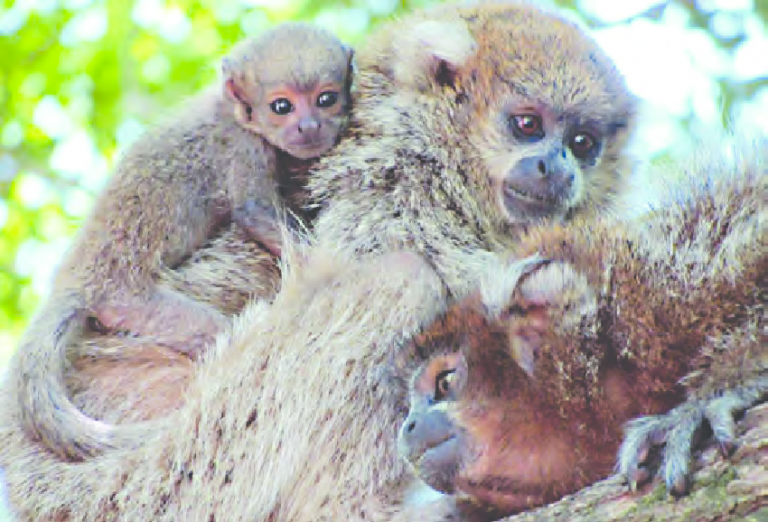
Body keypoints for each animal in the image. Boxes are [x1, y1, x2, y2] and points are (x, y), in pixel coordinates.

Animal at [9, 22, 354, 461]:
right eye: (282, 107)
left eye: (326, 99)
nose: (309, 127)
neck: (230, 111)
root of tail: (74, 282)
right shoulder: (243, 147)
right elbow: (255, 212)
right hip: (133, 303)